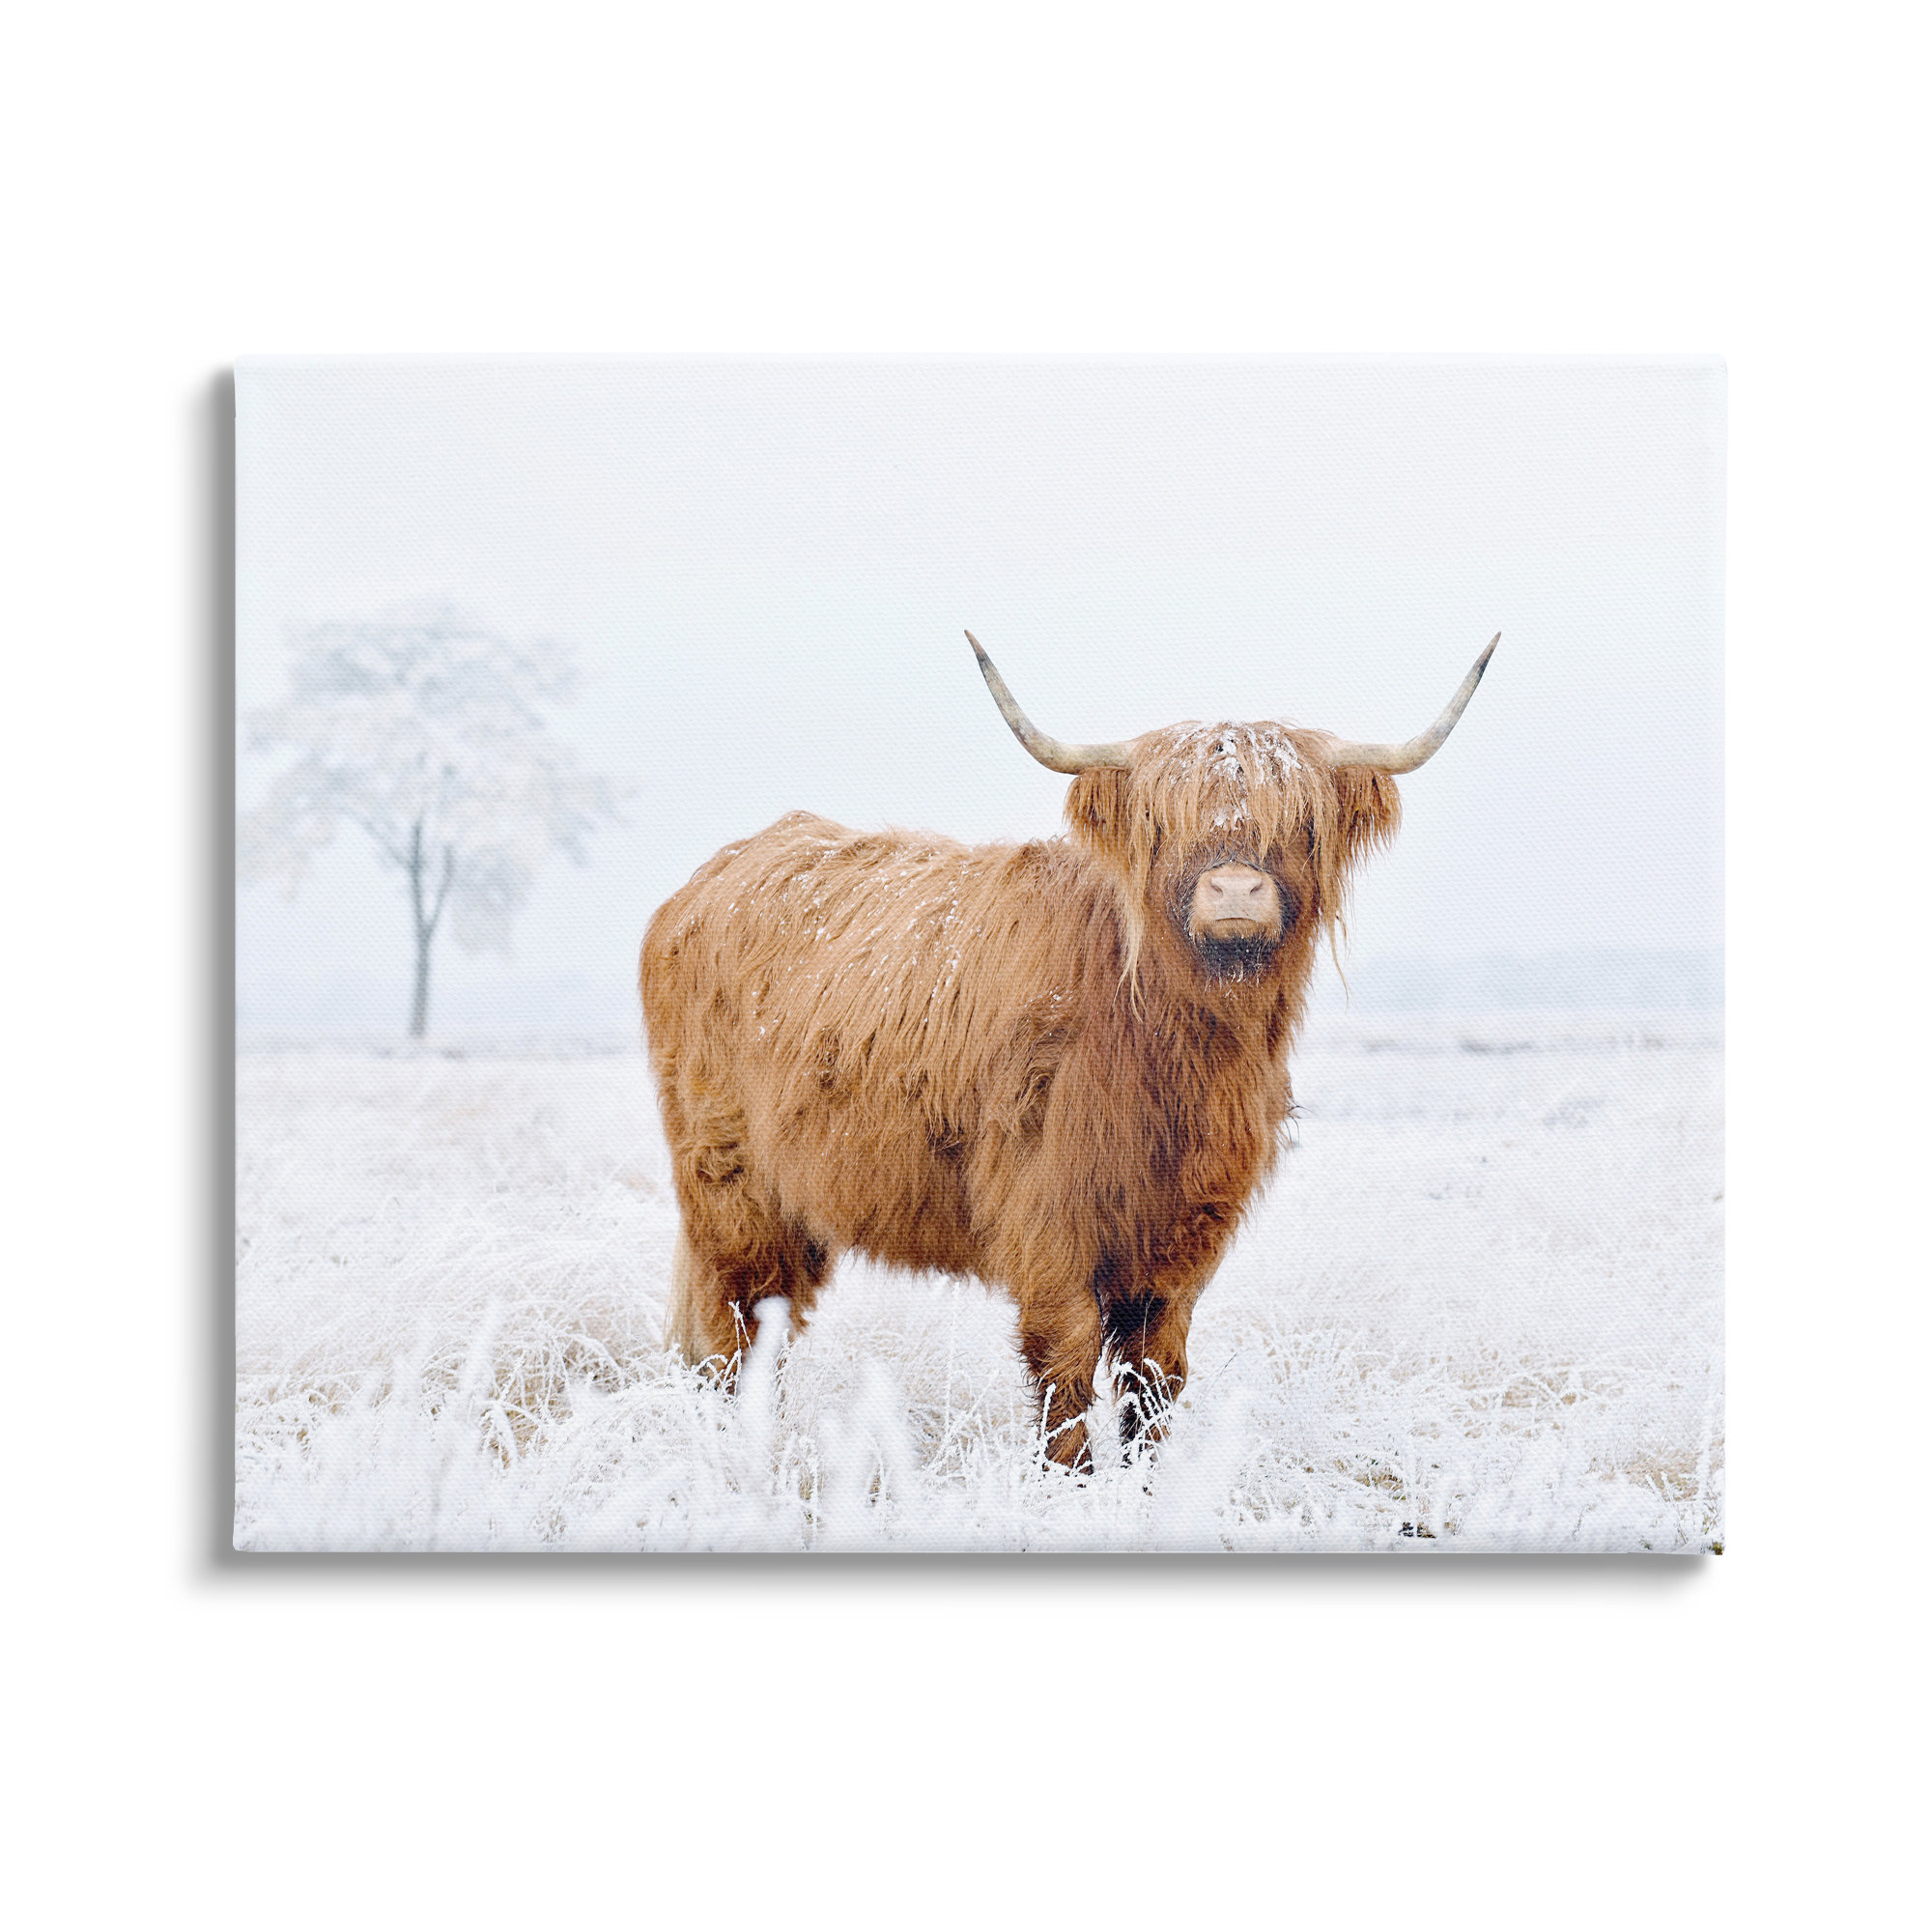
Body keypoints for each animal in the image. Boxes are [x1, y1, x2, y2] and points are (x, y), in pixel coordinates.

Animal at [639, 631, 1499, 1467]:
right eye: (1163, 823)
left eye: (1299, 824)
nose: (1234, 891)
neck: (1177, 1051)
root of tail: (711, 877)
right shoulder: (1048, 1214)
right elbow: (1066, 1366)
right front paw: (1069, 1482)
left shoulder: (1184, 1235)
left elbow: (1156, 1376)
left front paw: (1151, 1484)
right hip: (730, 1186)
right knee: (737, 1326)